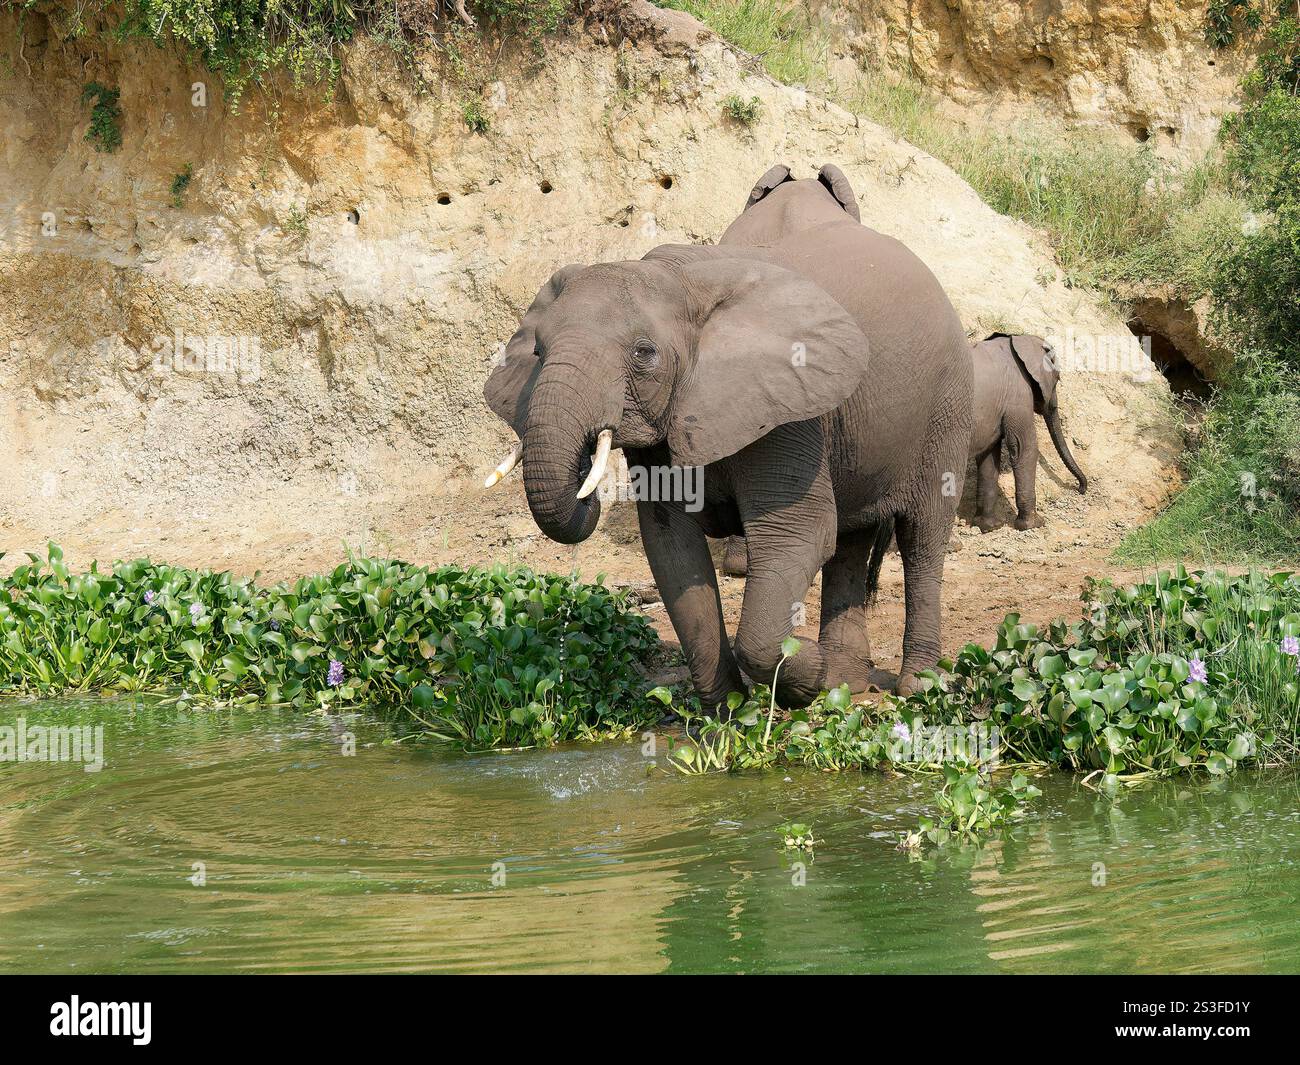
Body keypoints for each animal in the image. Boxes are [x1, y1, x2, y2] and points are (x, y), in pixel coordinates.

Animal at [482, 163, 973, 707]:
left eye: (644, 353)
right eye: (539, 352)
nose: (586, 475)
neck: (681, 279)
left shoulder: (788, 411)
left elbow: (794, 535)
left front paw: (800, 670)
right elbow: (672, 544)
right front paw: (728, 709)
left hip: (948, 403)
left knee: (922, 536)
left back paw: (916, 685)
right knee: (851, 539)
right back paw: (844, 683)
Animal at [970, 333, 1087, 532]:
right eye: (1058, 379)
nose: (1081, 489)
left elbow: (988, 456)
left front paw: (990, 527)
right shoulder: (1019, 395)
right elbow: (1024, 447)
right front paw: (1034, 524)